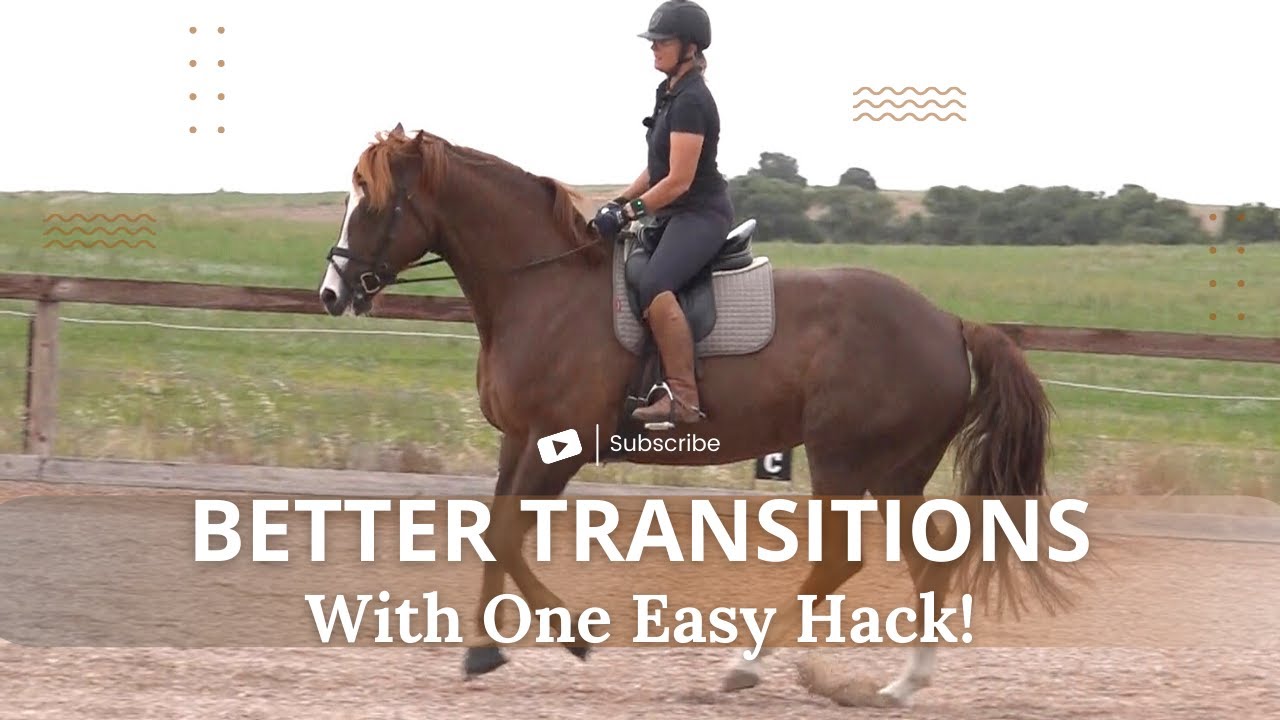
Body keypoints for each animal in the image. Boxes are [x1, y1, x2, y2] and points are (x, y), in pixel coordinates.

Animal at [315, 124, 1075, 707]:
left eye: (373, 202)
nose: (331, 293)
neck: (542, 288)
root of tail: (948, 322)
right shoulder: (520, 442)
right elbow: (494, 533)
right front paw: (483, 649)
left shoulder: (559, 444)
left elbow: (504, 536)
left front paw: (568, 636)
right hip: (896, 472)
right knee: (926, 557)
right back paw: (901, 685)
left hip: (848, 459)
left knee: (841, 559)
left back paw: (745, 666)